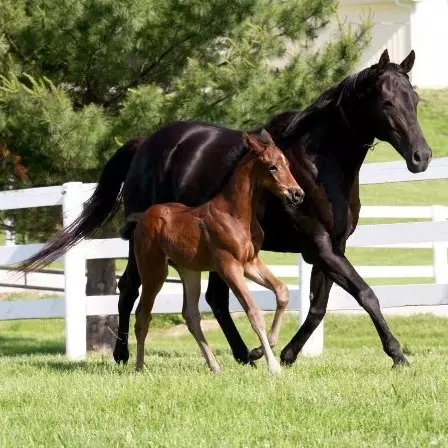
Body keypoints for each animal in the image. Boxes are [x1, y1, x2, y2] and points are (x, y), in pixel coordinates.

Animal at [126, 130, 304, 374]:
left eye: (287, 163)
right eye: (271, 166)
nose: (297, 194)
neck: (235, 215)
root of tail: (143, 216)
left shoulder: (250, 263)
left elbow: (282, 292)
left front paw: (259, 351)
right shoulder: (229, 266)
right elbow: (254, 312)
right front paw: (272, 365)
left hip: (189, 271)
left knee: (191, 315)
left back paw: (215, 366)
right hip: (154, 272)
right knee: (143, 316)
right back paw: (139, 367)